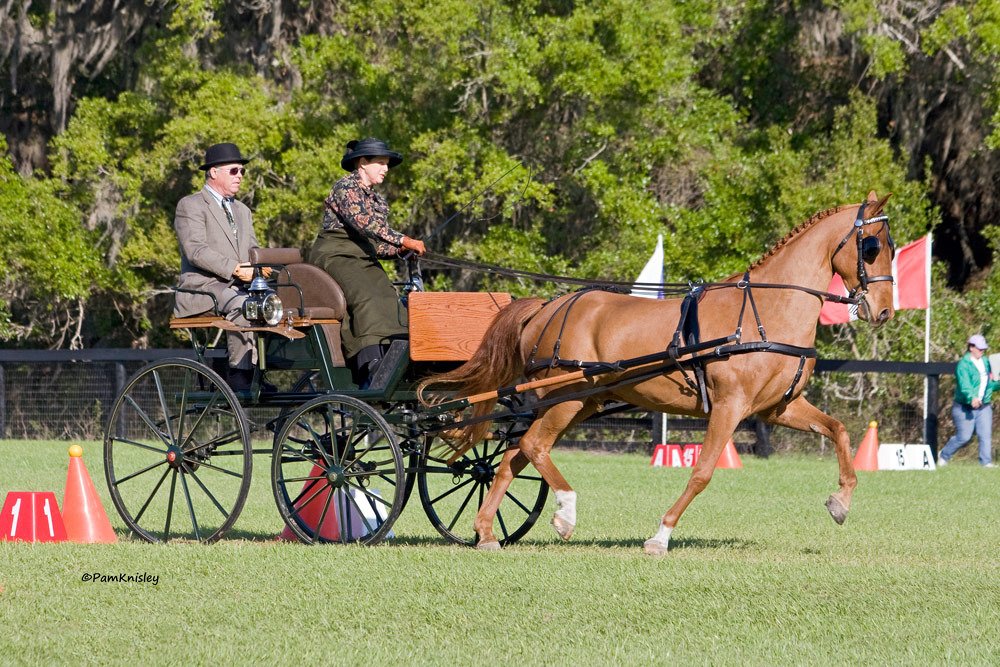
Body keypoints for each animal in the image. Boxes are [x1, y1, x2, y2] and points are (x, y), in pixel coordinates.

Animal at [419, 191, 896, 554]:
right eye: (872, 246)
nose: (885, 312)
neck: (766, 312)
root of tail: (546, 306)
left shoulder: (778, 408)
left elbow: (838, 430)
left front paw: (840, 502)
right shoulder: (730, 407)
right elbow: (702, 473)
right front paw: (660, 537)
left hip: (576, 402)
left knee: (512, 457)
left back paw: (485, 532)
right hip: (566, 396)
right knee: (534, 446)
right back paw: (565, 514)